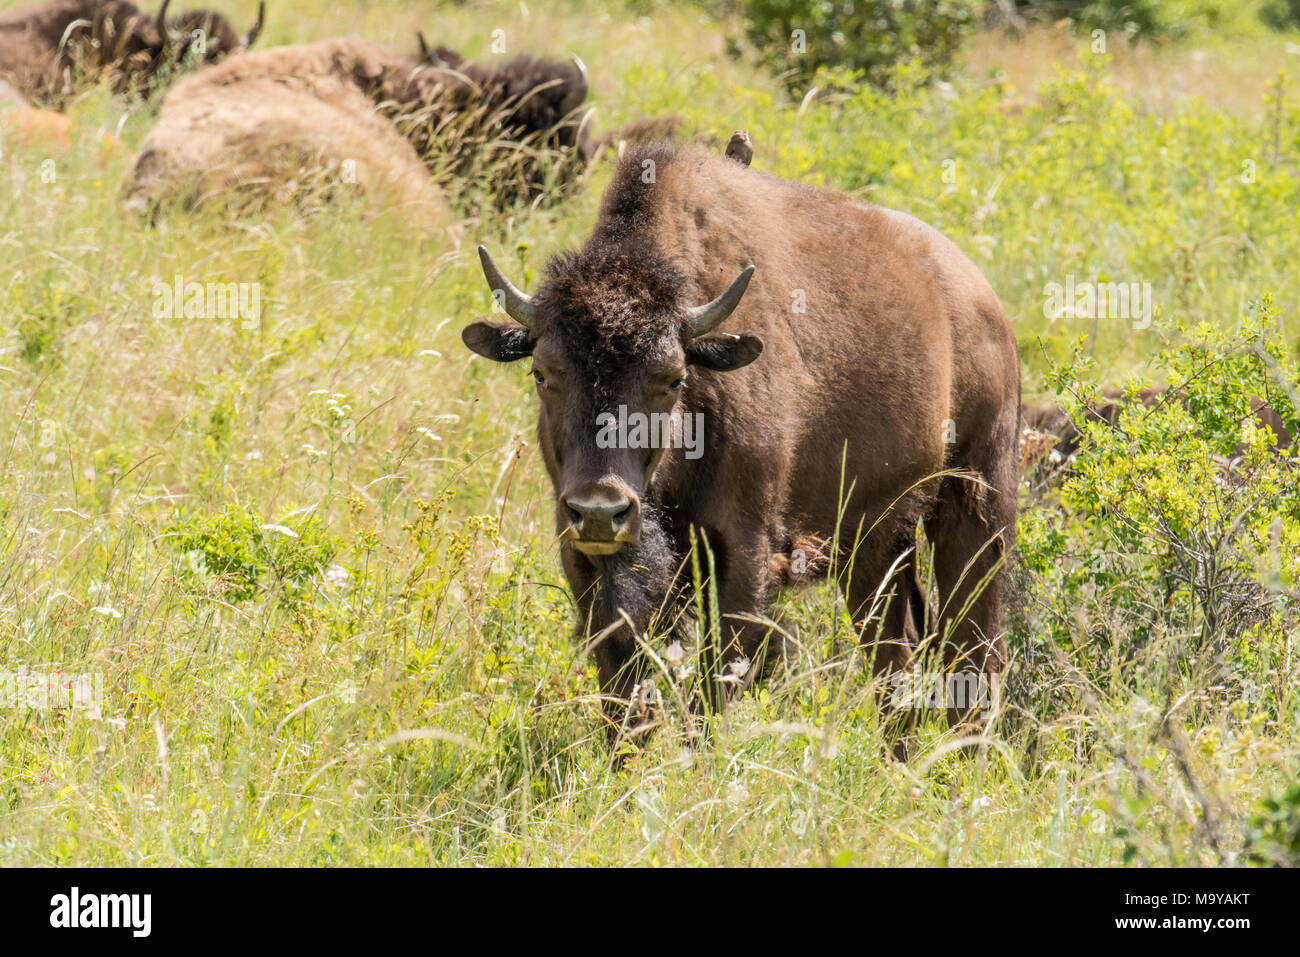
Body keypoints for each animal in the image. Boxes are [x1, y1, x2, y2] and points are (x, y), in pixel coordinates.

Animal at [463, 143, 1022, 748]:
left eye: (673, 379)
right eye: (542, 373)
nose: (598, 510)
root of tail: (986, 304)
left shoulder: (744, 555)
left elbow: (715, 682)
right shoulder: (585, 561)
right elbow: (623, 688)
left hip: (975, 502)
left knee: (974, 646)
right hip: (874, 542)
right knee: (897, 648)